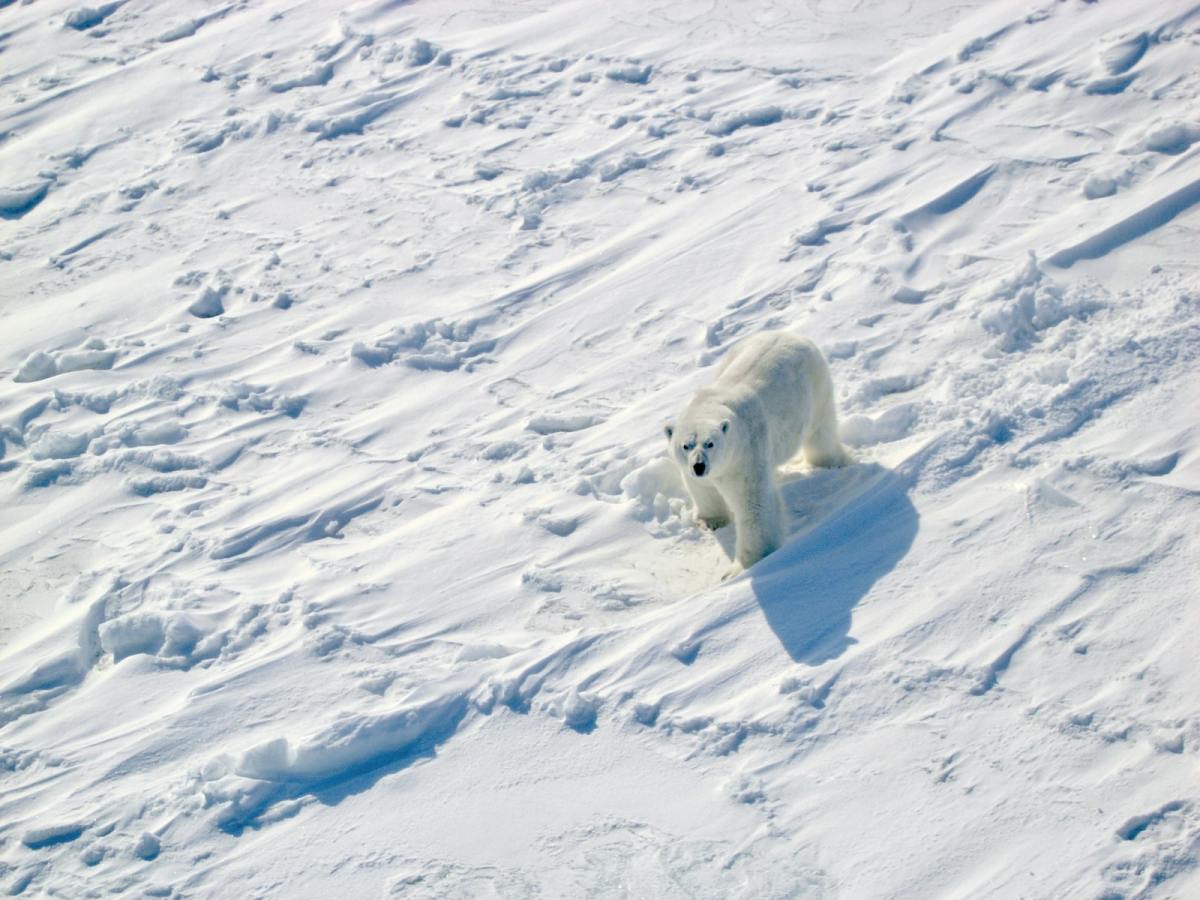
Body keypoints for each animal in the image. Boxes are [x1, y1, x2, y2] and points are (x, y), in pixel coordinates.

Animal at [664, 330, 849, 580]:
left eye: (710, 443)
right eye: (686, 445)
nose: (699, 466)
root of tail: (791, 334)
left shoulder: (745, 454)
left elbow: (753, 504)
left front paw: (741, 568)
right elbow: (703, 490)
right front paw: (713, 521)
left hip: (816, 386)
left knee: (821, 432)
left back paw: (831, 461)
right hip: (733, 354)